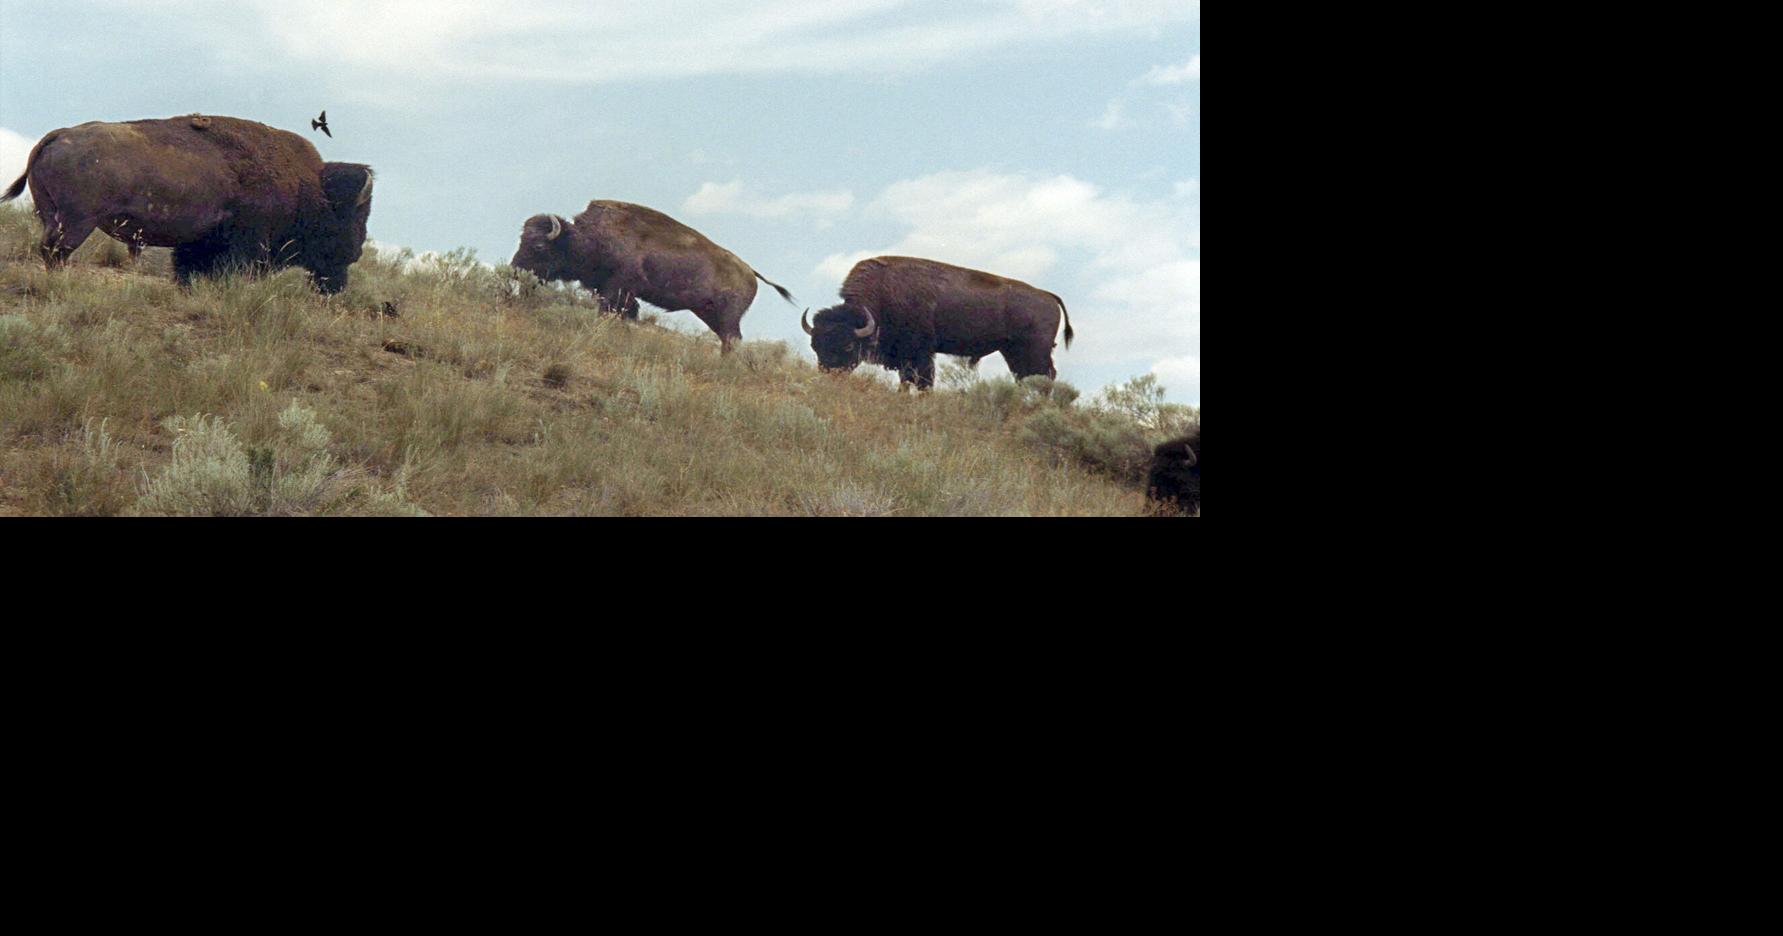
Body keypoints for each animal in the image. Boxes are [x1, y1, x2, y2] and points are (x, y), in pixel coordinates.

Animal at [0, 114, 374, 293]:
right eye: (356, 217)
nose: (357, 252)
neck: (309, 187)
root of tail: (59, 135)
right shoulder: (248, 244)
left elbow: (184, 268)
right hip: (77, 221)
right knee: (57, 251)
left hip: (50, 215)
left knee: (49, 248)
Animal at [510, 201, 796, 354]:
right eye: (521, 238)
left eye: (539, 246)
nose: (514, 268)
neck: (590, 238)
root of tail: (750, 271)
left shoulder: (618, 289)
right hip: (710, 314)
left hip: (727, 317)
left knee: (731, 339)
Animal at [803, 256, 1074, 390]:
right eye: (815, 346)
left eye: (848, 345)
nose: (828, 375)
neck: (883, 293)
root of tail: (1048, 295)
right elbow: (906, 381)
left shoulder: (920, 353)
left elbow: (923, 382)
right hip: (1013, 352)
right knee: (1025, 378)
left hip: (1034, 352)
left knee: (1045, 378)